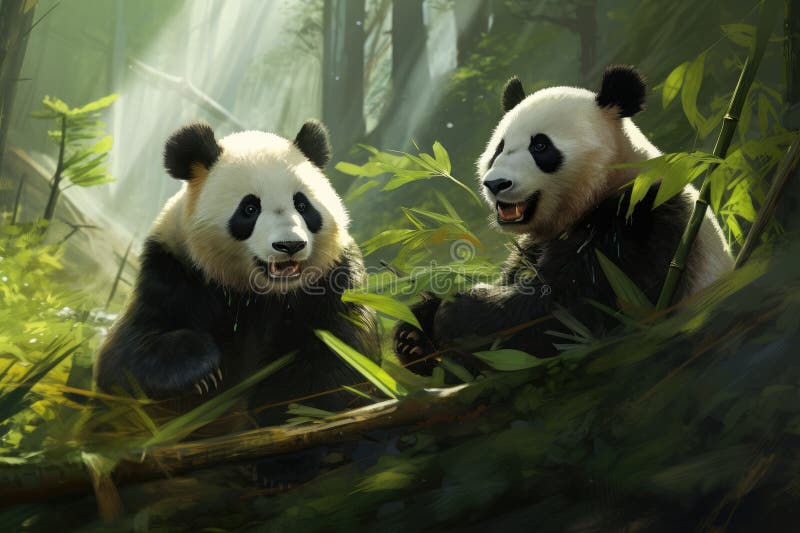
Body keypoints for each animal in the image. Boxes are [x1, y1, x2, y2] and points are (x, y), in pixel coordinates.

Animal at [95, 120, 379, 423]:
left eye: (302, 205)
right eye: (250, 208)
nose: (290, 245)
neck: (261, 292)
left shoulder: (332, 278)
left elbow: (338, 356)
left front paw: (287, 405)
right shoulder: (174, 269)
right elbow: (124, 357)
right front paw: (202, 370)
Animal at [394, 65, 733, 373]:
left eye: (540, 146)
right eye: (499, 148)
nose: (496, 184)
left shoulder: (639, 224)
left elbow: (564, 317)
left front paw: (455, 315)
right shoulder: (530, 248)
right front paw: (413, 335)